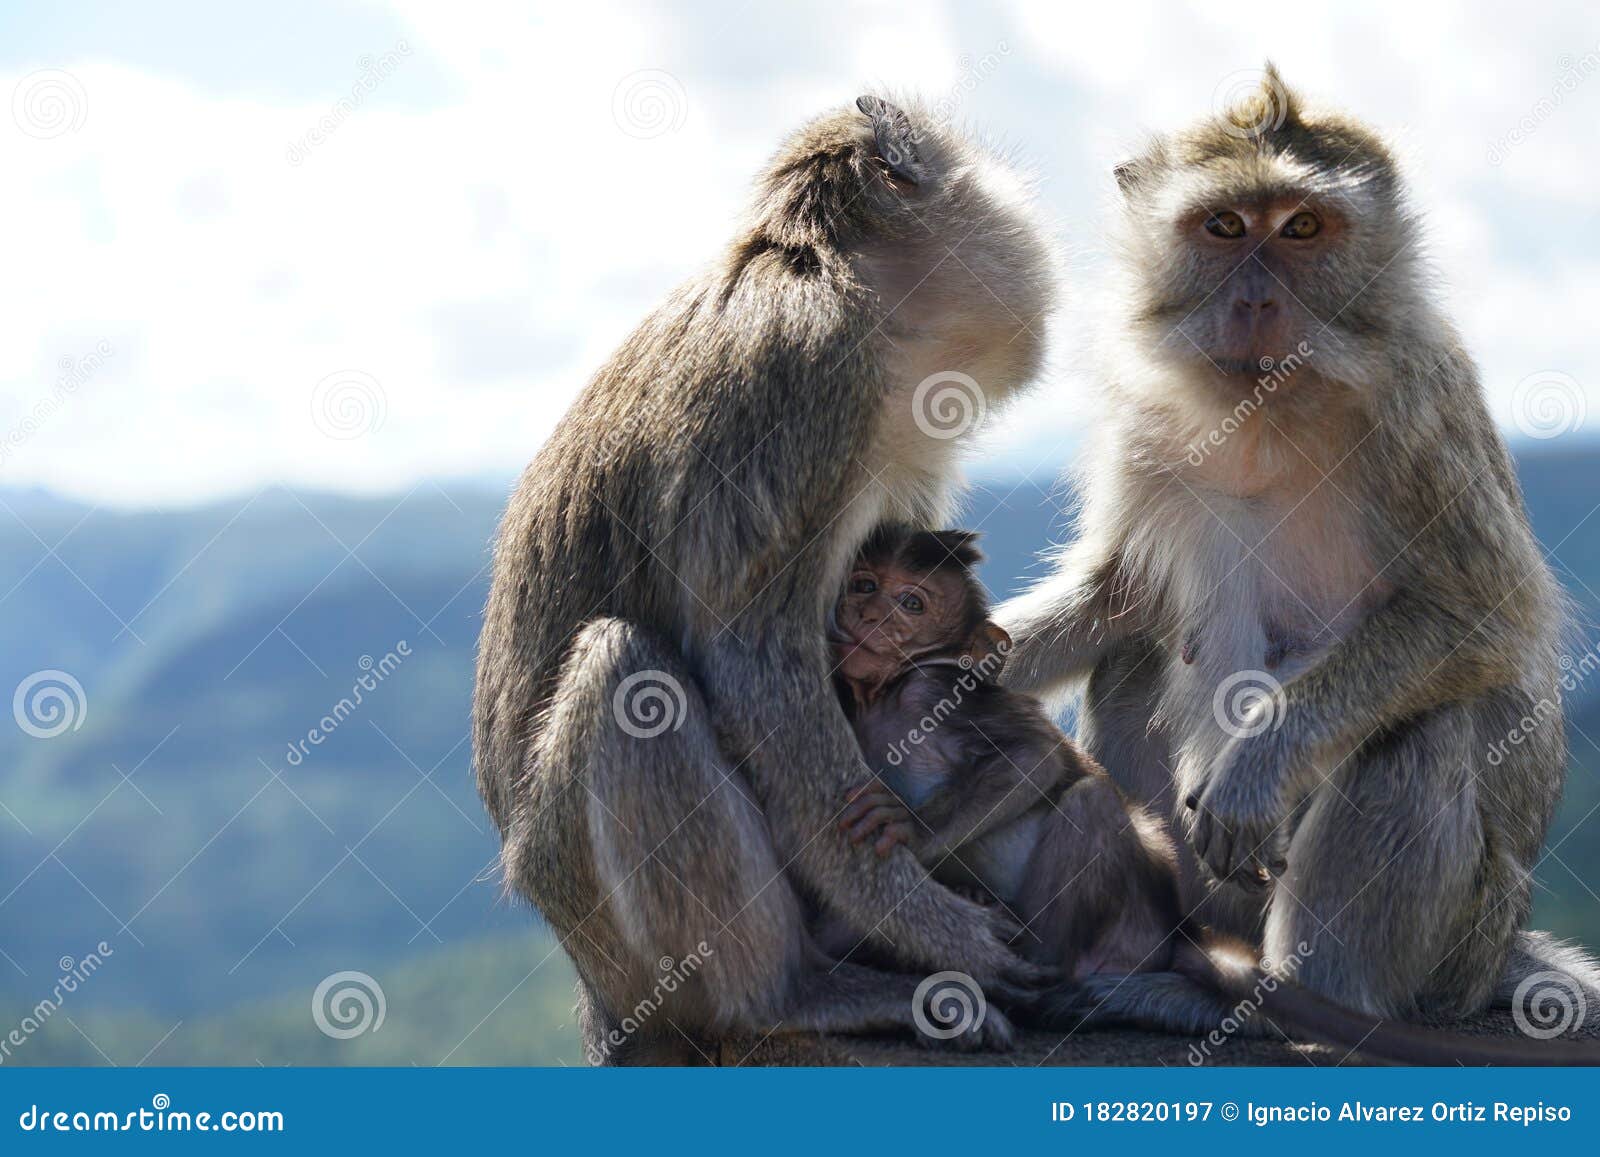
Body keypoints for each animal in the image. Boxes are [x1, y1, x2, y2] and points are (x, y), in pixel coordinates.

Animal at [472, 94, 1057, 1063]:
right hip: (597, 912)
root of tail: (592, 987)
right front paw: (928, 922)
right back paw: (787, 995)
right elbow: (750, 658)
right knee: (631, 674)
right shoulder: (801, 381)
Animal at [996, 64, 1600, 1042]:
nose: (1256, 302)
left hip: (1455, 950)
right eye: (1225, 226)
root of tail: (1499, 953)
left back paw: (1301, 1009)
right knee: (1133, 657)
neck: (1267, 404)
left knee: (1417, 730)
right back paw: (1164, 966)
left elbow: (1484, 620)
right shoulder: (1141, 427)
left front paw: (1257, 765)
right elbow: (1120, 595)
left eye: (1304, 228)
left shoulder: (1419, 412)